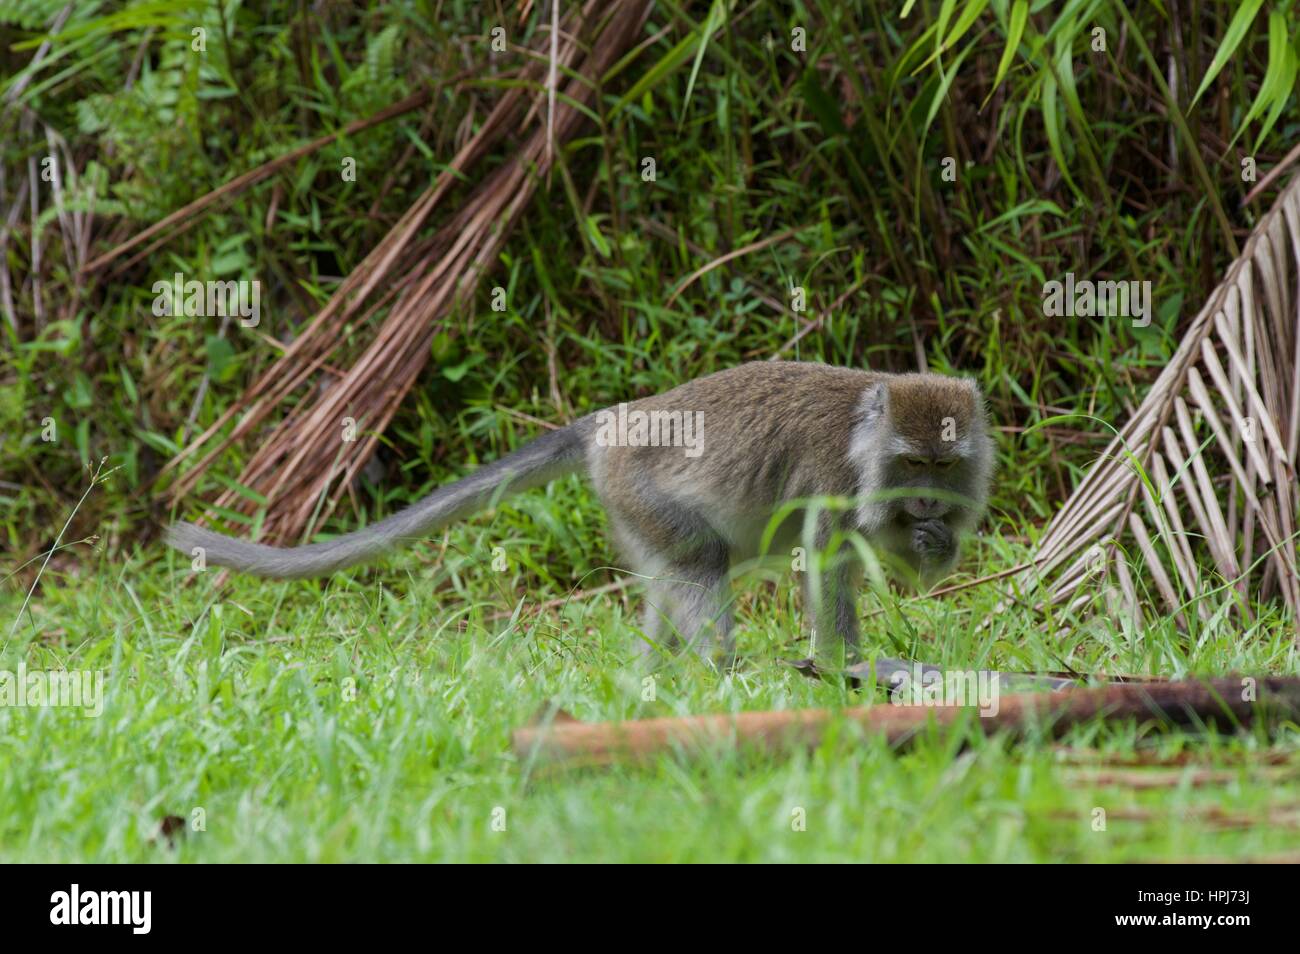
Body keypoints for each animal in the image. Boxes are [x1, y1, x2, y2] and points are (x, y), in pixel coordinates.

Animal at [165, 361, 994, 666]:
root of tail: (609, 424)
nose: (928, 498)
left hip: (630, 506)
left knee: (675, 575)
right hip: (639, 488)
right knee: (700, 564)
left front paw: (932, 545)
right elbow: (825, 572)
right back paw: (716, 673)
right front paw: (847, 667)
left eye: (944, 465)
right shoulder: (830, 478)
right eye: (913, 463)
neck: (862, 436)